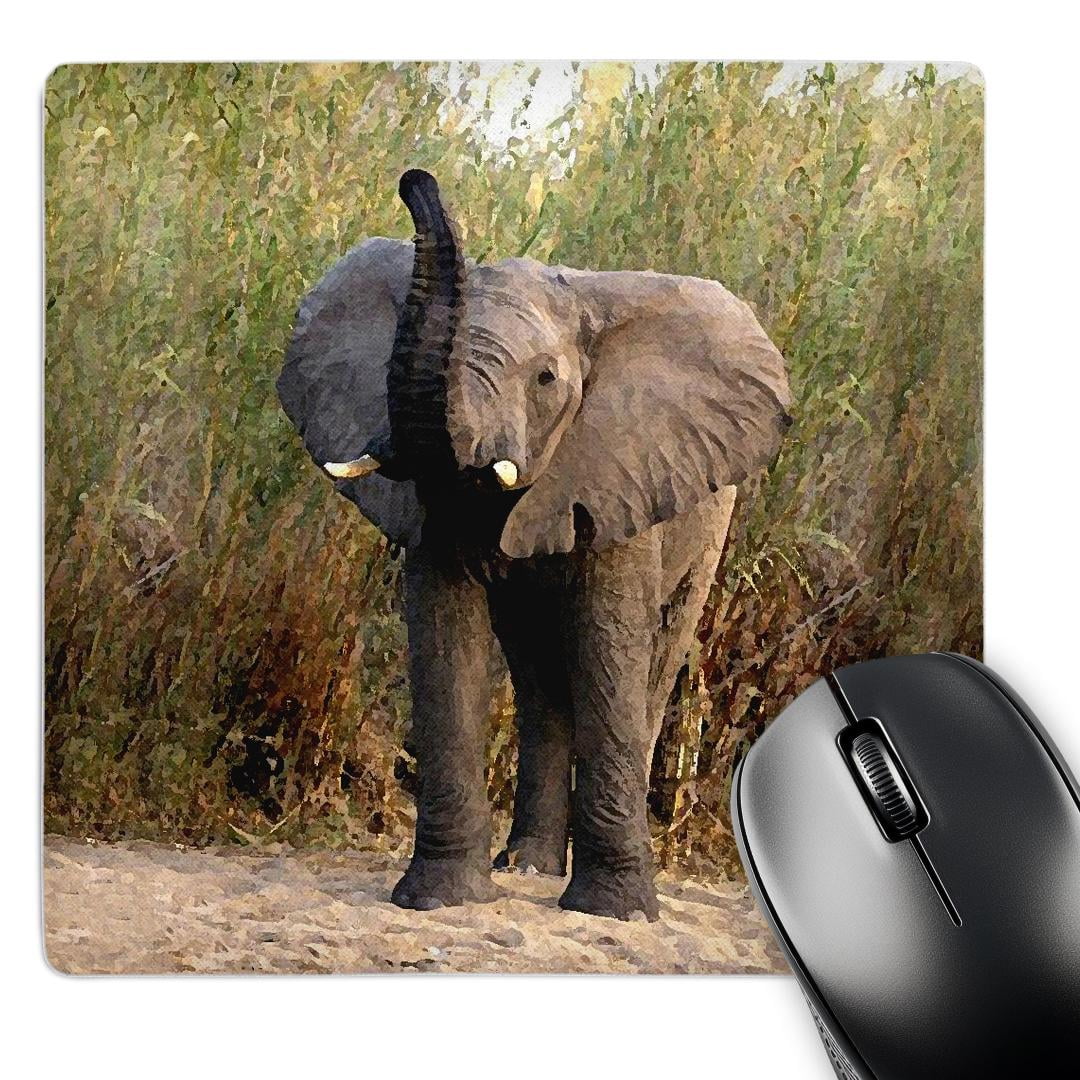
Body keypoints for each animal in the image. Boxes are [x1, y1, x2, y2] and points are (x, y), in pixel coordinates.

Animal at [277, 169, 790, 920]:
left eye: (546, 379)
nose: (414, 180)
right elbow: (445, 640)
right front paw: (437, 900)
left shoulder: (621, 468)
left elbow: (609, 649)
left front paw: (615, 912)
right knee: (538, 674)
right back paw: (525, 868)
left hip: (710, 522)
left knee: (654, 660)